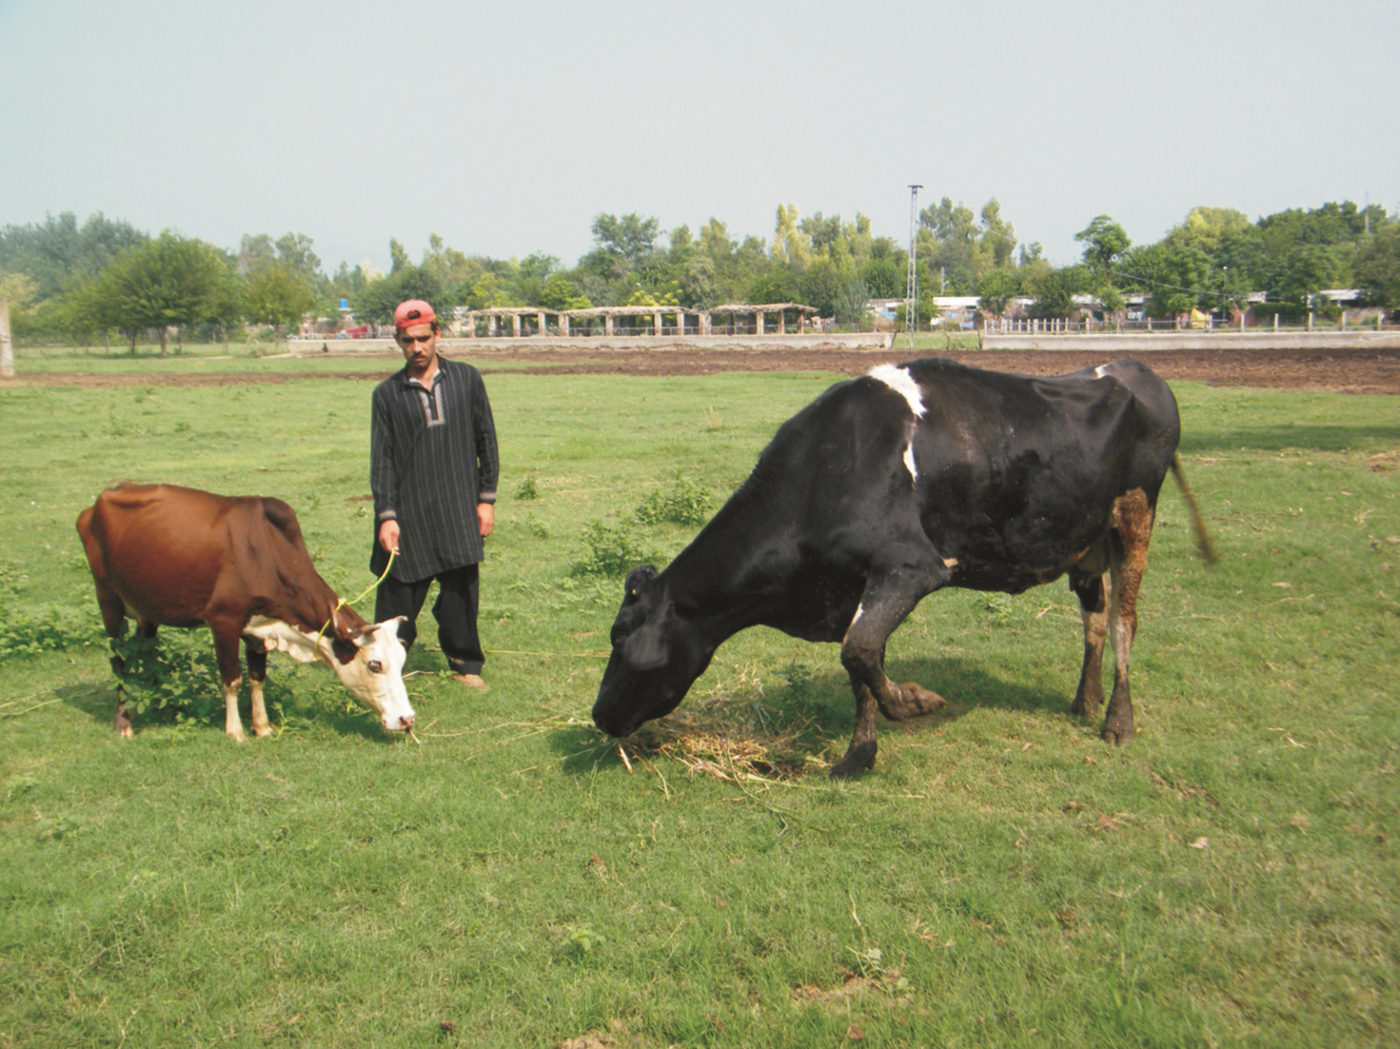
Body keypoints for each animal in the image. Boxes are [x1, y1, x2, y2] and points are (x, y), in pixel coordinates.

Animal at [76, 483, 416, 741]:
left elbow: (257, 678)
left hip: (147, 609)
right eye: (374, 665)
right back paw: (124, 722)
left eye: (401, 661)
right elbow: (233, 680)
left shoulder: (259, 629)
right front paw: (235, 731)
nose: (406, 719)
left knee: (143, 651)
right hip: (107, 598)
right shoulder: (223, 621)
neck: (265, 554)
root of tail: (95, 505)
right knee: (118, 660)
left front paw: (262, 727)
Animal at [592, 357, 1213, 779]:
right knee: (1095, 616)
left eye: (620, 635)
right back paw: (1083, 701)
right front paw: (858, 756)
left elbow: (860, 651)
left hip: (1135, 514)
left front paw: (916, 703)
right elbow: (862, 663)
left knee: (1126, 621)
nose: (598, 715)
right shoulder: (856, 583)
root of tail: (1132, 369)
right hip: (1083, 540)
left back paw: (1117, 721)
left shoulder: (912, 566)